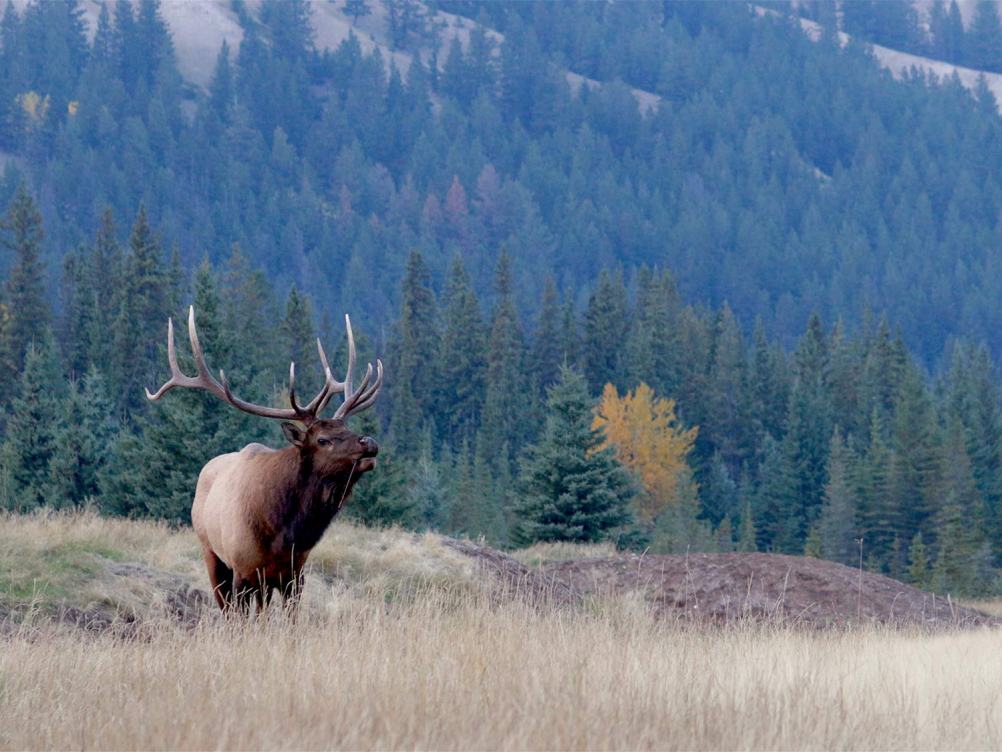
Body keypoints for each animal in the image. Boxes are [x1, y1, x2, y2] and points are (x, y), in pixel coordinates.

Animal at [146, 306, 383, 613]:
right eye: (323, 440)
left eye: (347, 428)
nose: (369, 443)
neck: (283, 533)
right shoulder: (243, 569)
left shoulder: (294, 573)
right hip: (212, 555)